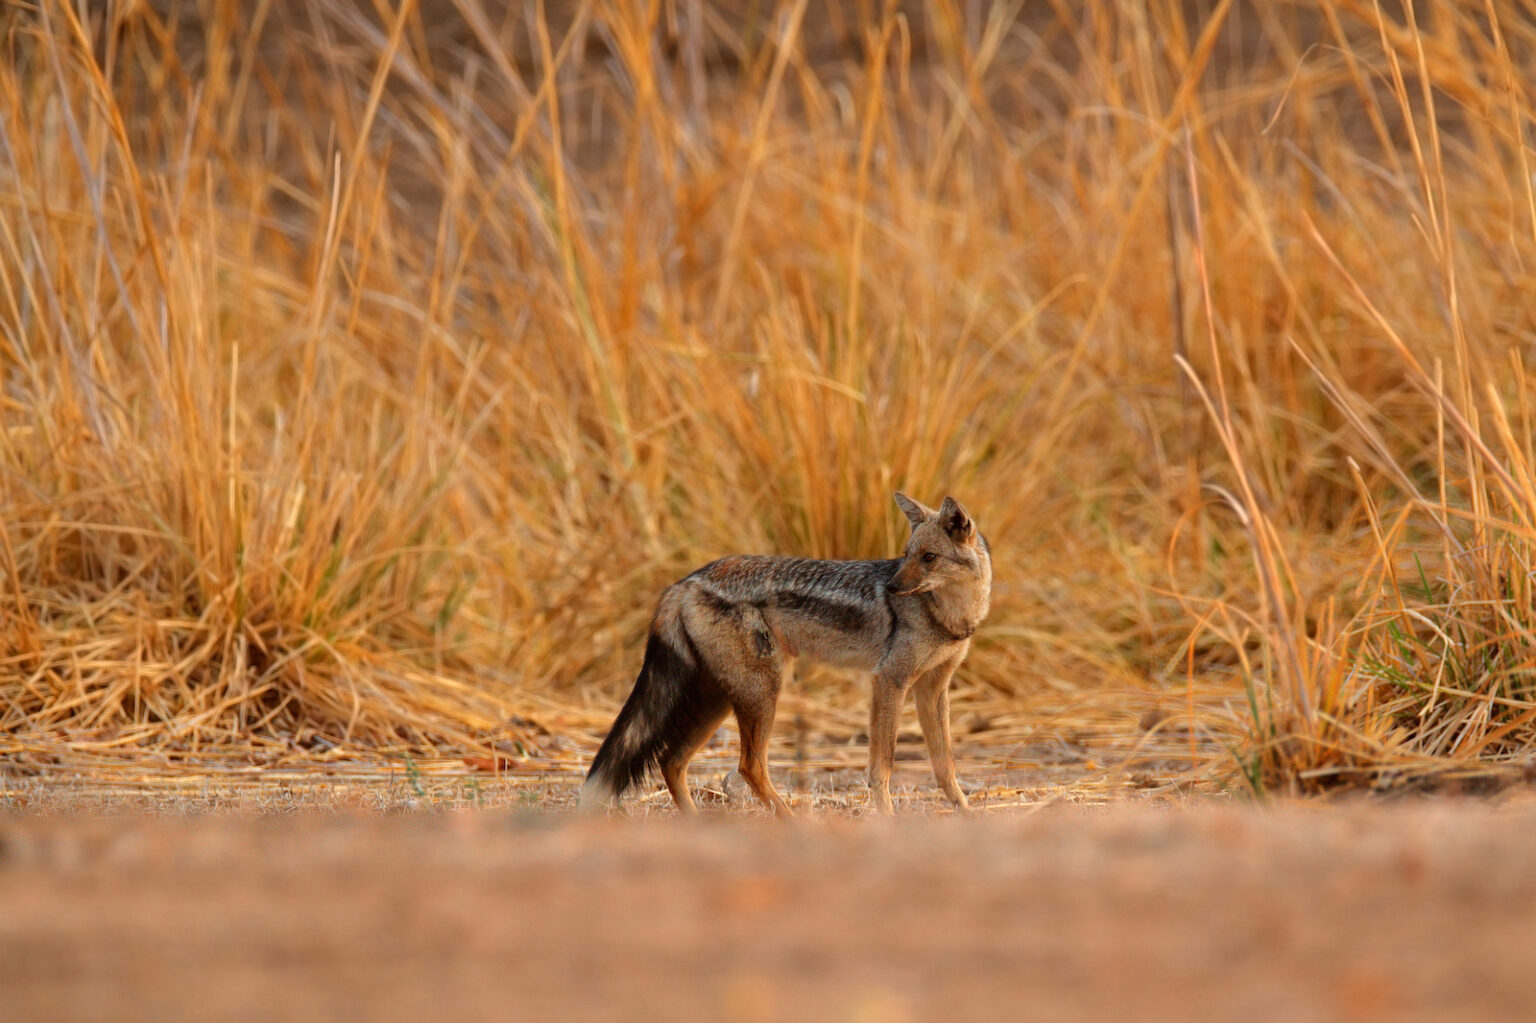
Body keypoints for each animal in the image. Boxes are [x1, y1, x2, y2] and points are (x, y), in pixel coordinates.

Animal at [578, 493, 991, 816]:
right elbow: (883, 767)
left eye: (929, 557)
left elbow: (945, 765)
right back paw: (794, 823)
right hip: (761, 693)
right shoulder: (890, 679)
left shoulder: (932, 688)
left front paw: (966, 815)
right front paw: (887, 818)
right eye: (906, 555)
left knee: (672, 760)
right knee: (749, 766)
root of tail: (686, 581)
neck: (951, 617)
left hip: (722, 701)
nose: (890, 586)